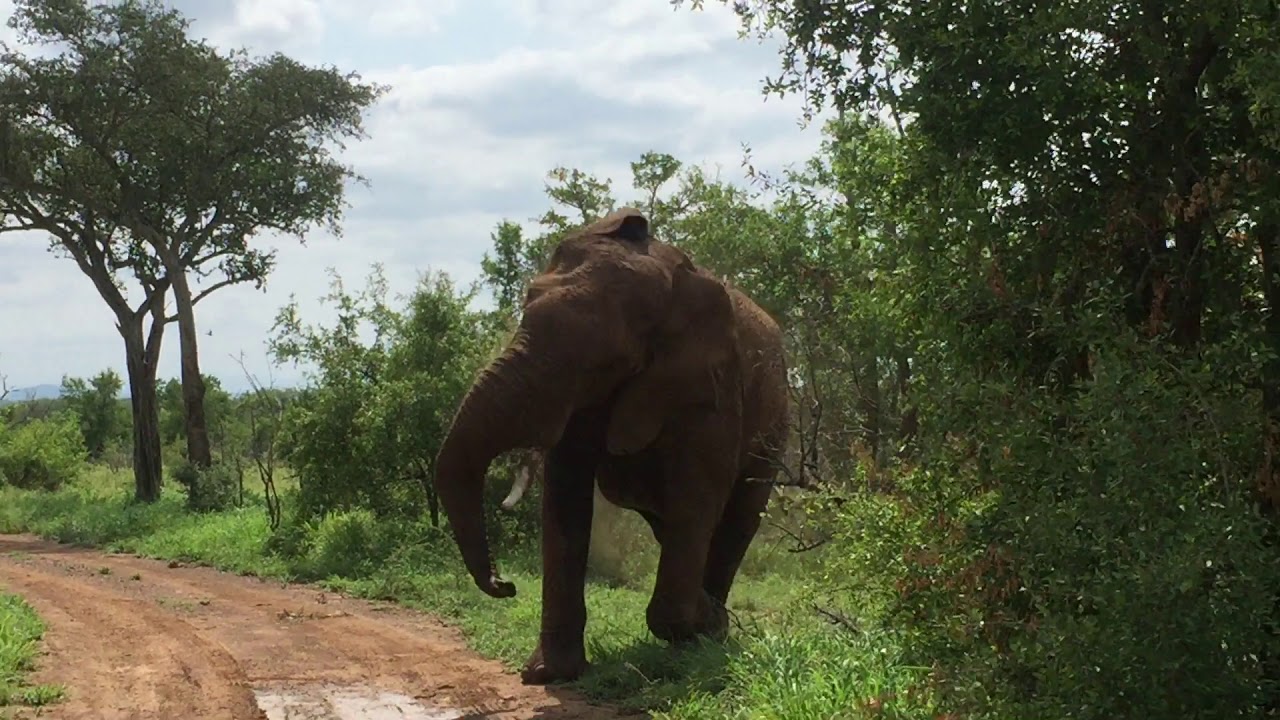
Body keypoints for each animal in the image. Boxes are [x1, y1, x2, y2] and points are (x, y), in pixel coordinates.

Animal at [432, 207, 790, 685]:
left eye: (605, 362)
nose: (504, 585)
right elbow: (565, 497)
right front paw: (549, 675)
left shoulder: (712, 385)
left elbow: (698, 495)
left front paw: (703, 623)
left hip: (776, 426)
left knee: (735, 519)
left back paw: (710, 625)